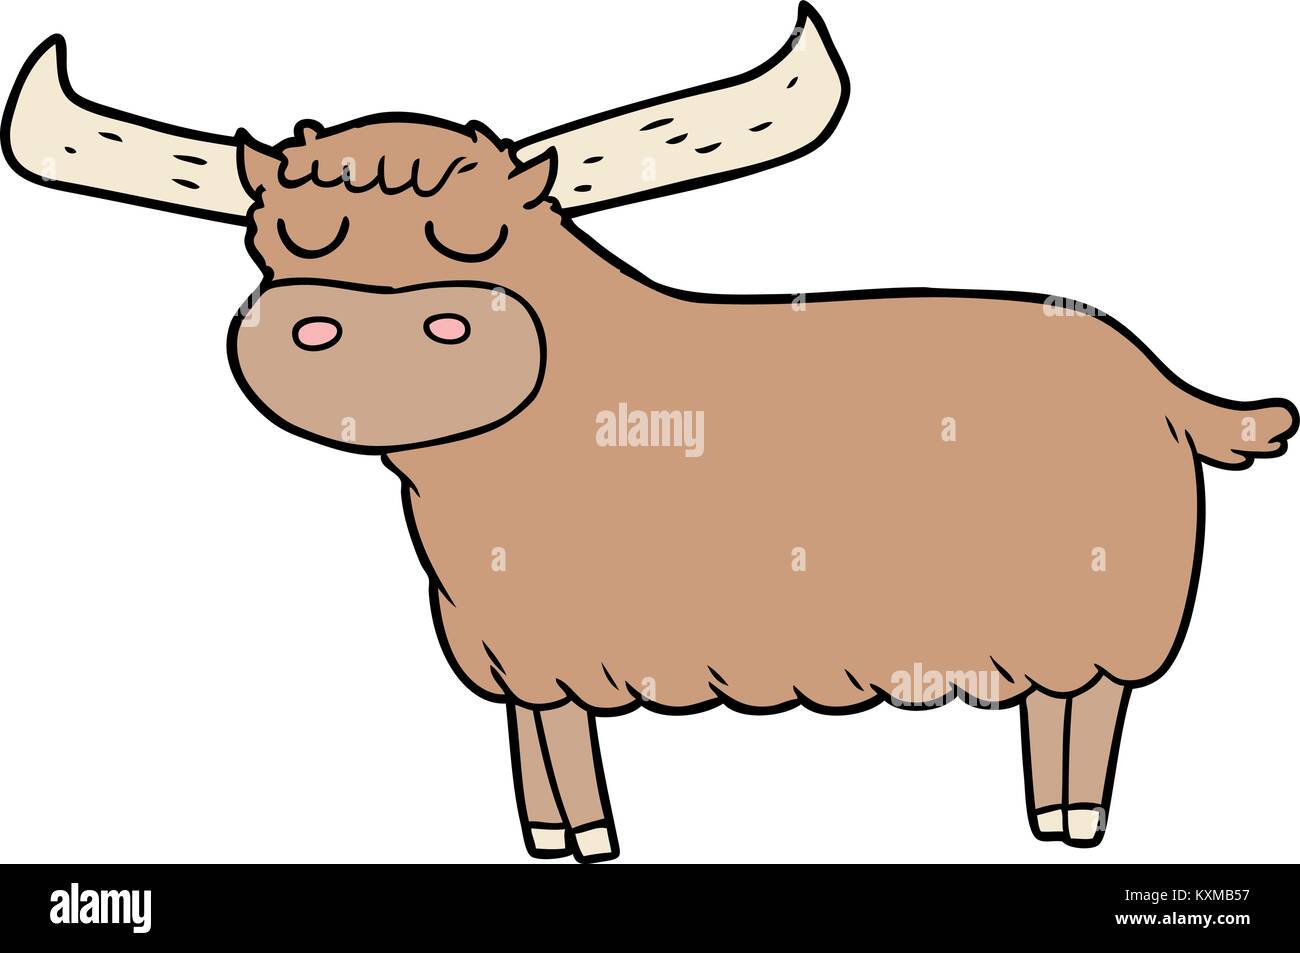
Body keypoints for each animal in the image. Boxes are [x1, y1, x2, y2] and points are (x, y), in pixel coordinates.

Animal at [3, 4, 1294, 862]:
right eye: (273, 239)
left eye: (489, 233)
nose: (359, 325)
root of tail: (1162, 378)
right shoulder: (515, 652)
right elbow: (537, 744)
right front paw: (552, 837)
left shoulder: (562, 641)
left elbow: (570, 742)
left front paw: (595, 839)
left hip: (1109, 621)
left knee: (1089, 713)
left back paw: (1071, 821)